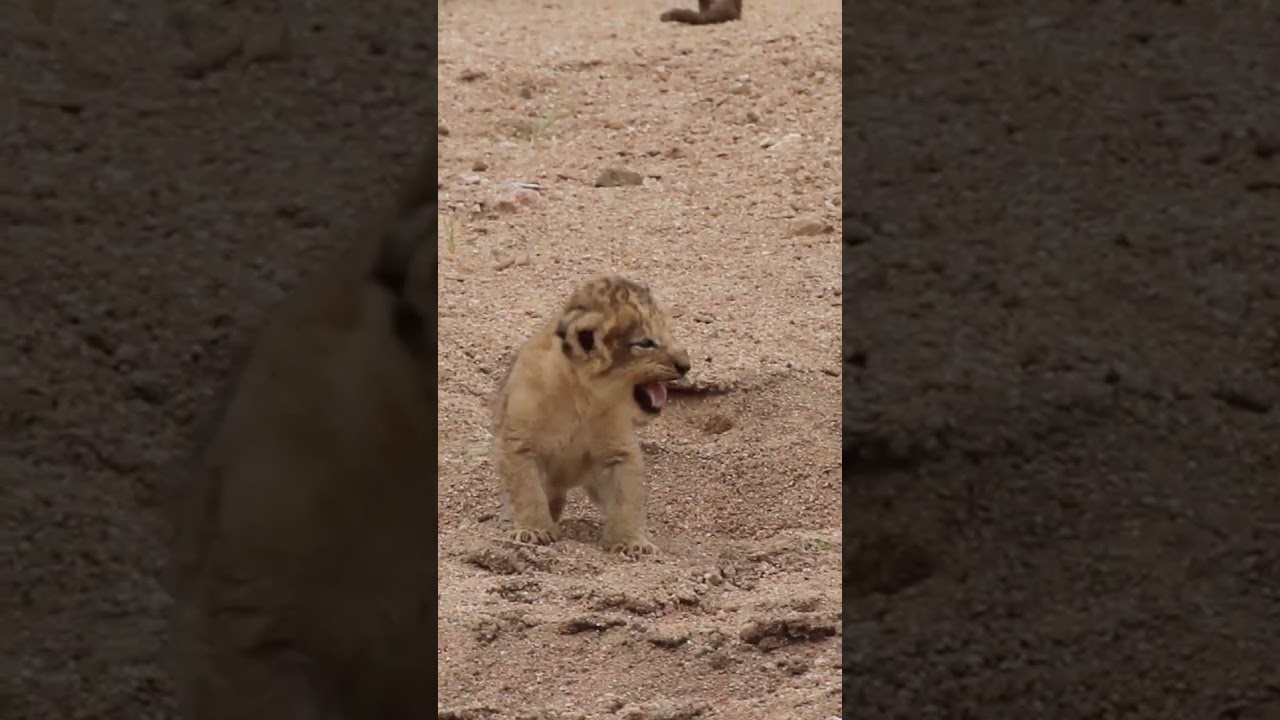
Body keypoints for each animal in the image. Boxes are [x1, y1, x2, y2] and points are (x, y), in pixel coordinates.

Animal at [490, 275, 692, 558]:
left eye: (669, 332)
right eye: (645, 342)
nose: (686, 365)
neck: (584, 397)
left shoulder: (619, 451)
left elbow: (626, 499)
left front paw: (632, 542)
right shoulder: (520, 443)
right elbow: (527, 491)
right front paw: (534, 530)